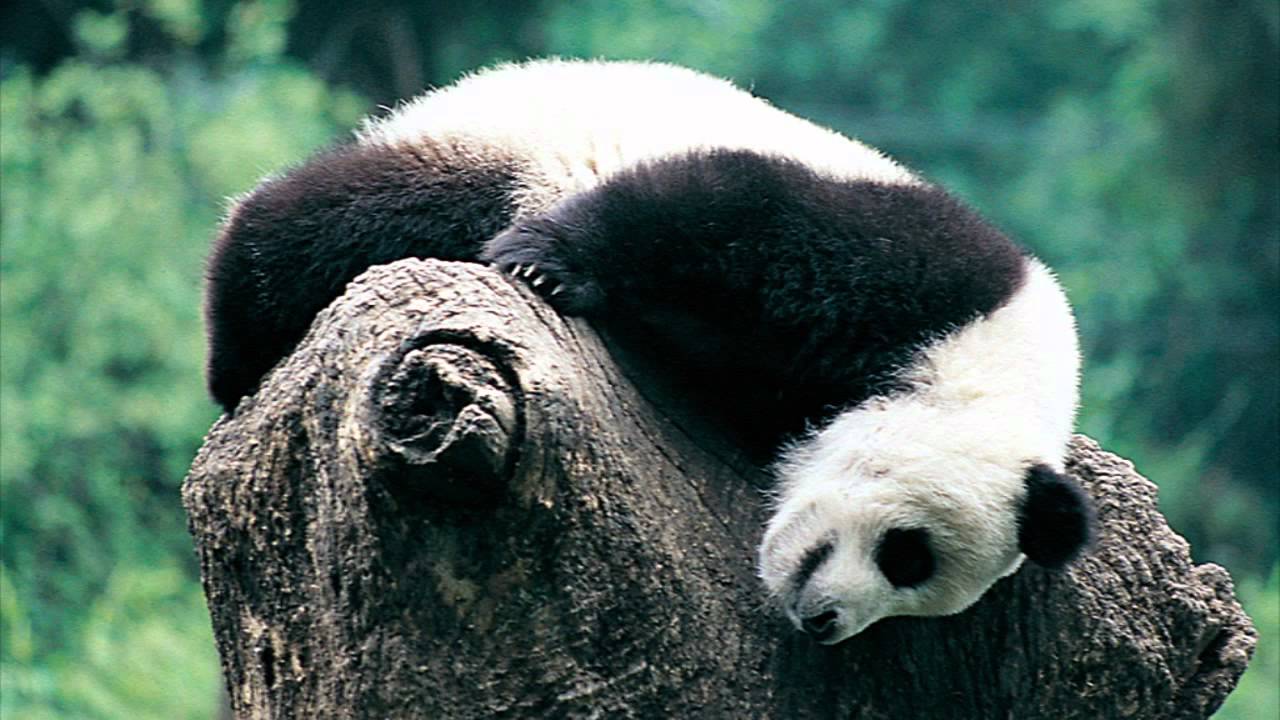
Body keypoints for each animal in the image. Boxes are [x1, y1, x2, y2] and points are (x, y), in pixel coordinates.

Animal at [205, 58, 1095, 645]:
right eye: (908, 554)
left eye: (915, 588)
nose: (824, 621)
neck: (991, 367)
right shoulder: (911, 269)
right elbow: (719, 217)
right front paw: (546, 263)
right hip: (499, 141)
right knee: (338, 217)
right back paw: (236, 350)